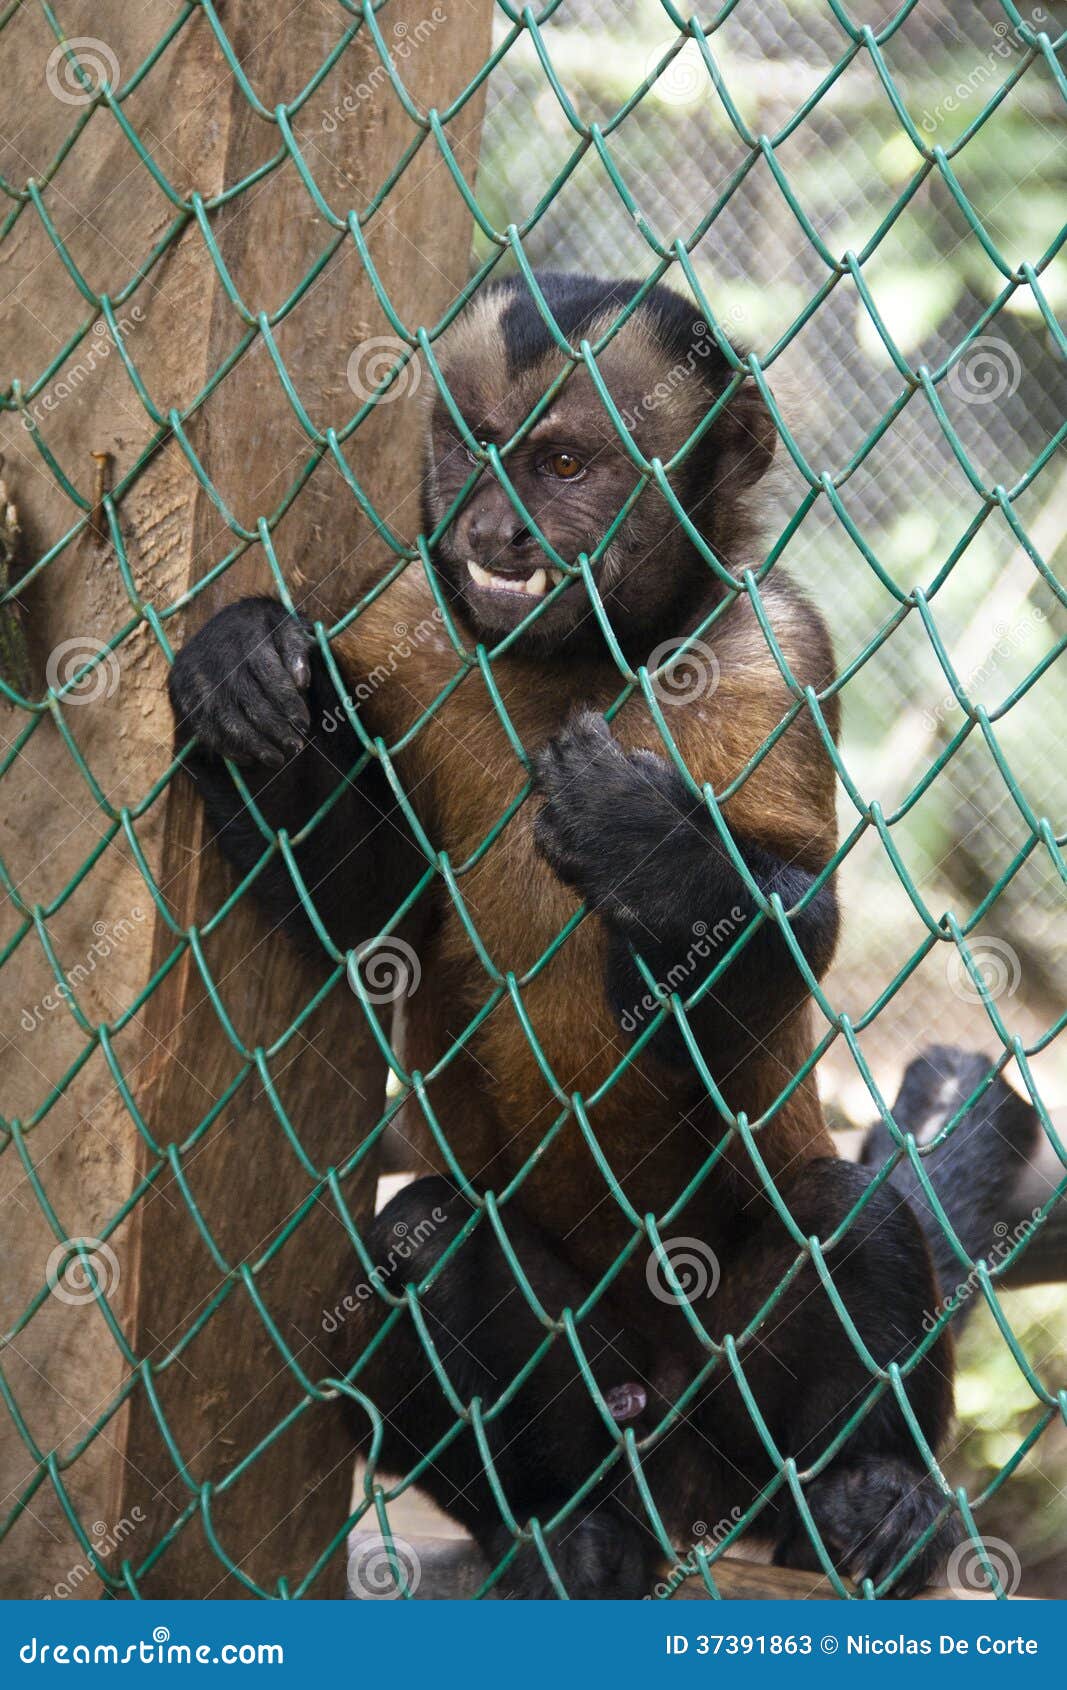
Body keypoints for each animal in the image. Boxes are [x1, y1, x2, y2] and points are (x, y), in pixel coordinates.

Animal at [169, 272, 975, 1598]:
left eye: (559, 464)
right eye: (473, 447)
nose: (494, 533)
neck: (586, 652)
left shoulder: (775, 653)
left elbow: (788, 927)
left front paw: (652, 857)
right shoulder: (403, 618)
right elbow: (369, 909)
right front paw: (242, 670)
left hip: (736, 1440)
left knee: (839, 1211)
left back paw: (869, 1502)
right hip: (611, 1392)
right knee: (425, 1240)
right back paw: (571, 1523)